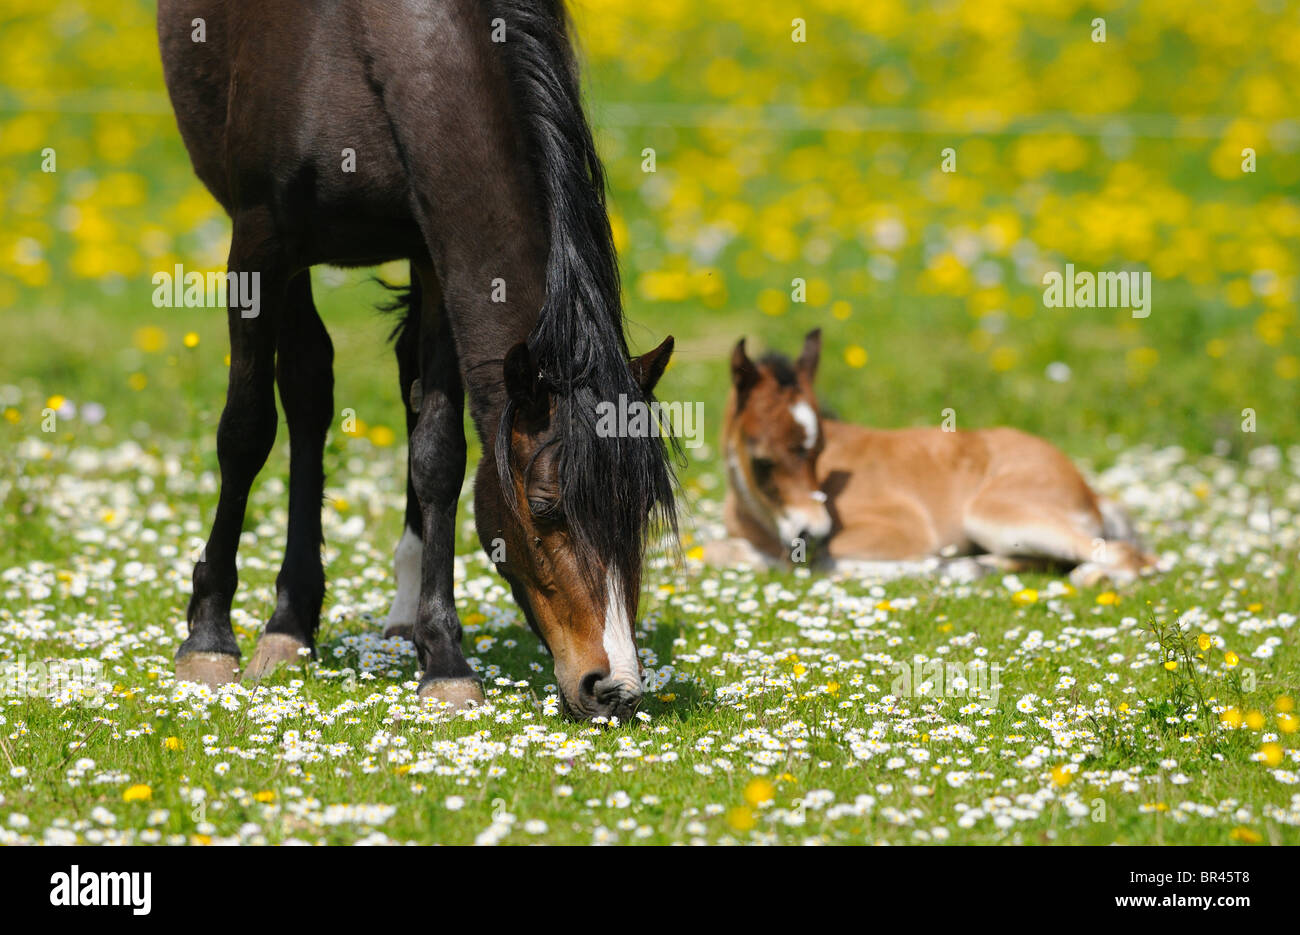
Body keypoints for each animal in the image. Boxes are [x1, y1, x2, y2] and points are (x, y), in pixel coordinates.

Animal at [157, 0, 677, 720]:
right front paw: (209, 637)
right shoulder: (260, 240)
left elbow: (439, 457)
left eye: (643, 512)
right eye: (546, 506)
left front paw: (446, 662)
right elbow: (246, 430)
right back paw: (287, 625)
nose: (615, 688)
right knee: (307, 391)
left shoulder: (433, 253)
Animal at [706, 330, 1156, 586]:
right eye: (763, 460)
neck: (759, 514)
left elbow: (807, 561)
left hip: (991, 513)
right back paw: (973, 568)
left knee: (1129, 556)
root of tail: (1089, 492)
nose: (811, 531)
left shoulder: (904, 529)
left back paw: (1093, 577)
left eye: (819, 451)